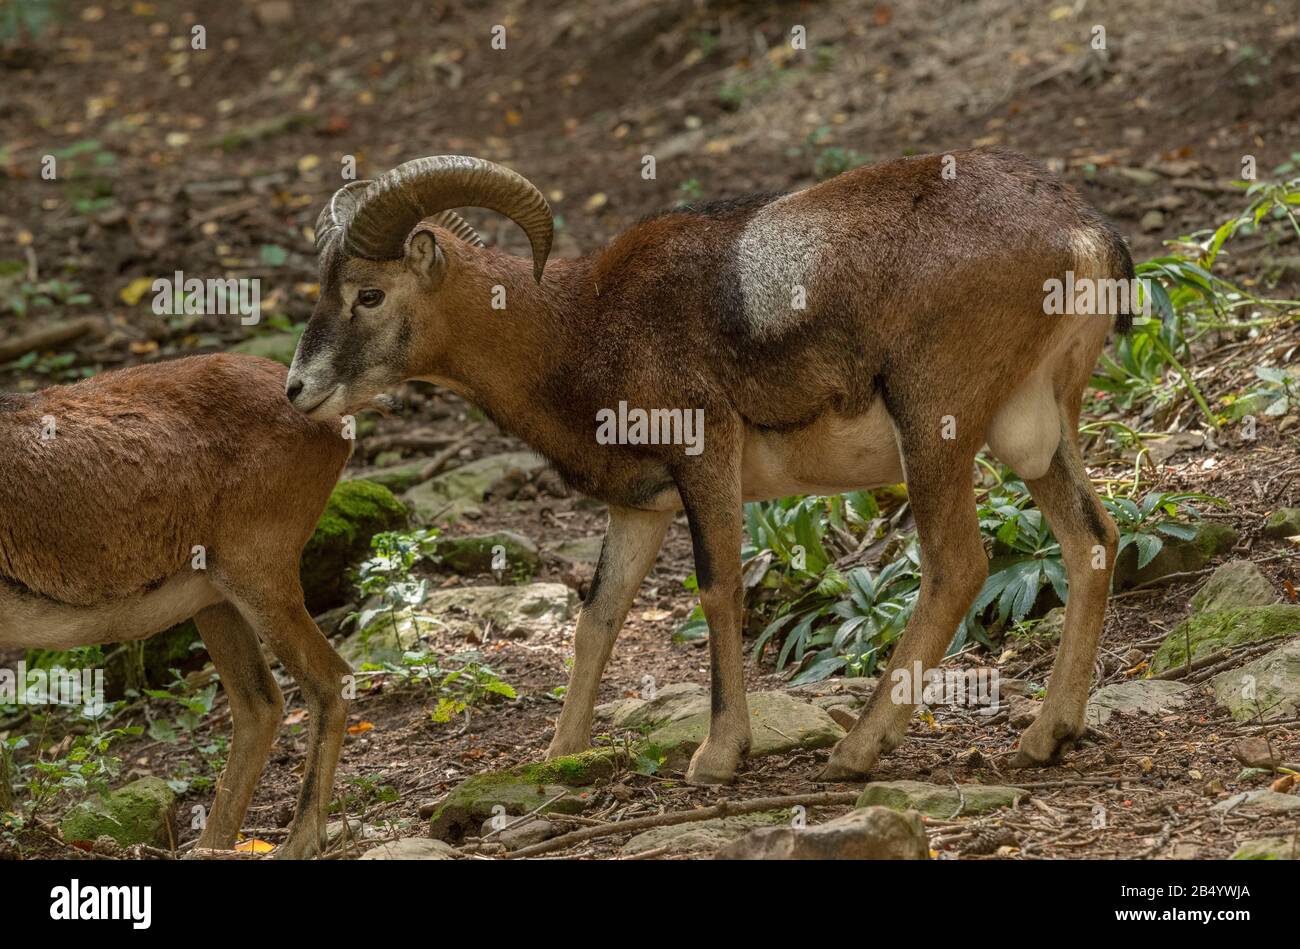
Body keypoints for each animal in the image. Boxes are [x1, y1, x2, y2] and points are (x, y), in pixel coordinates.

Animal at [287, 148, 1132, 784]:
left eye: (369, 293)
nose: (298, 390)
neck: (580, 326)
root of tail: (1083, 237)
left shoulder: (706, 460)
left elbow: (718, 589)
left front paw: (717, 756)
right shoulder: (640, 506)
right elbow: (599, 617)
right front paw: (559, 755)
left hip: (934, 429)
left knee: (957, 566)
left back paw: (855, 752)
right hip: (1041, 433)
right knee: (1092, 540)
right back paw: (1047, 737)